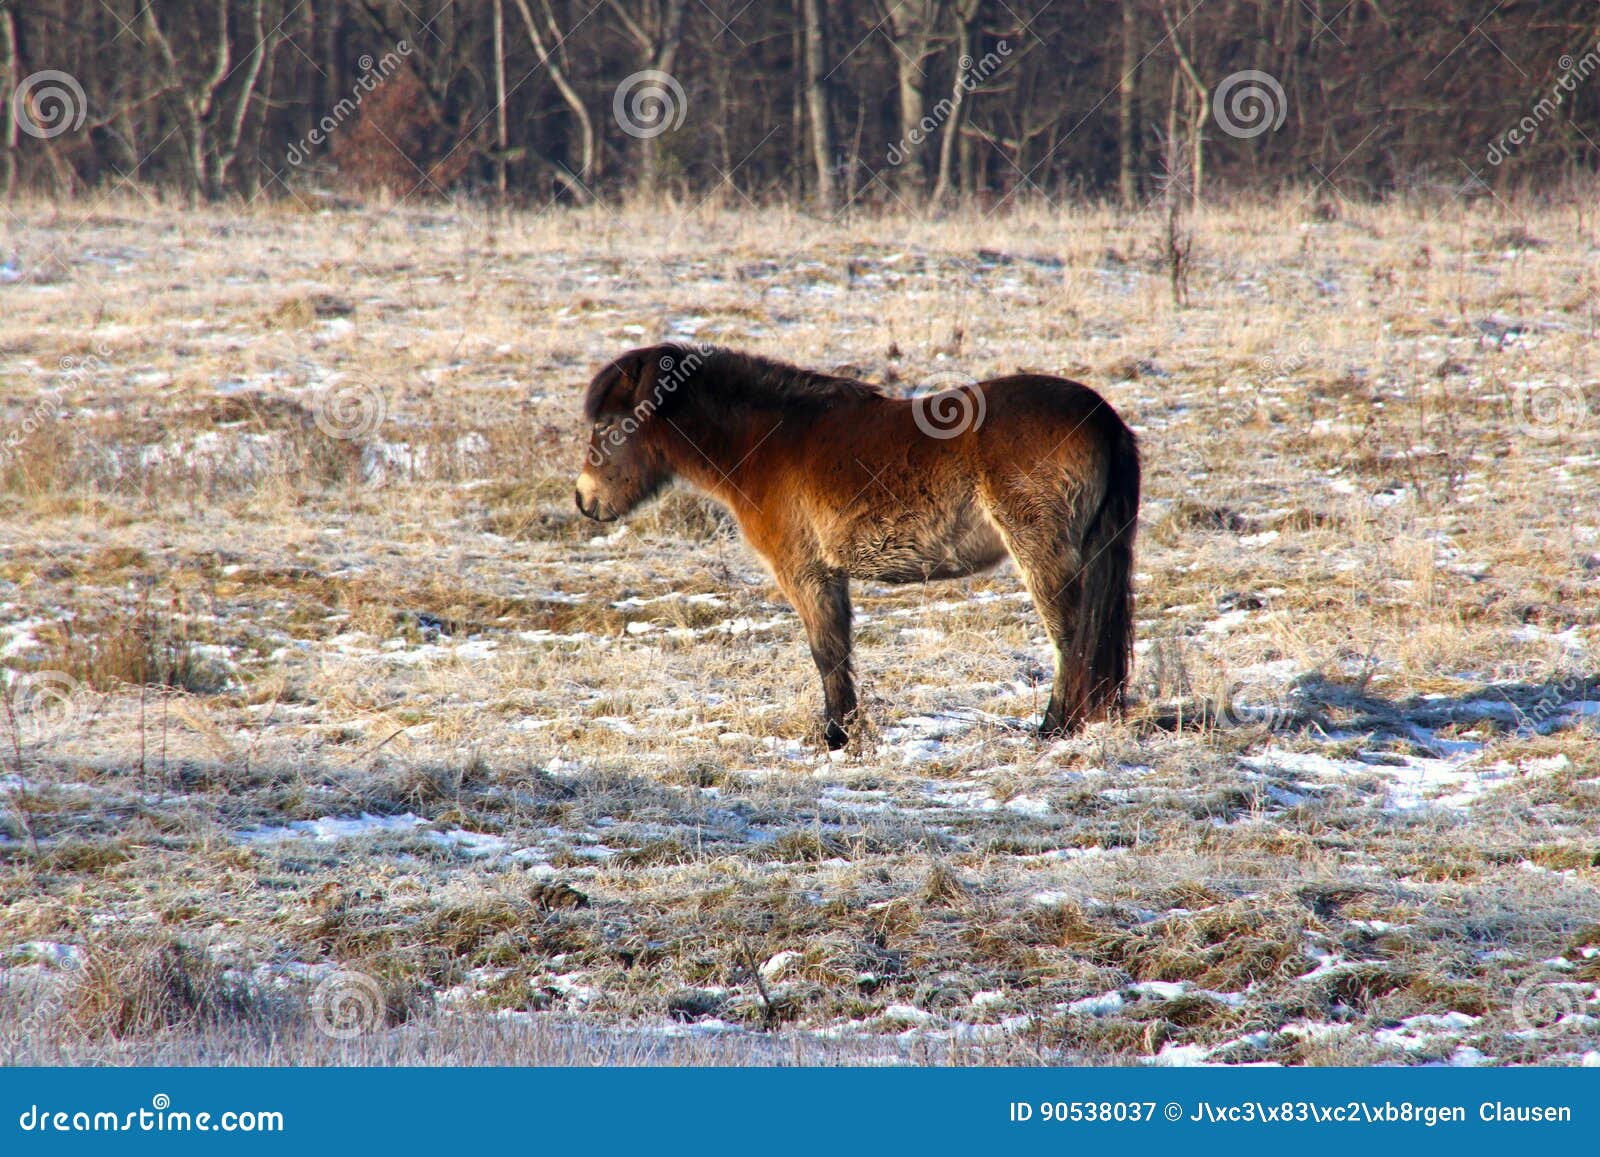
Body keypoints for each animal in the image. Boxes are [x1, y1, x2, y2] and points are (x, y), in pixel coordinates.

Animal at [574, 343, 1140, 749]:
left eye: (608, 425)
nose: (584, 499)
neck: (767, 441)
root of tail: (1102, 416)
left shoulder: (805, 572)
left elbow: (826, 652)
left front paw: (836, 737)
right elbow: (840, 650)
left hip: (1040, 551)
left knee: (1069, 636)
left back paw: (1054, 730)